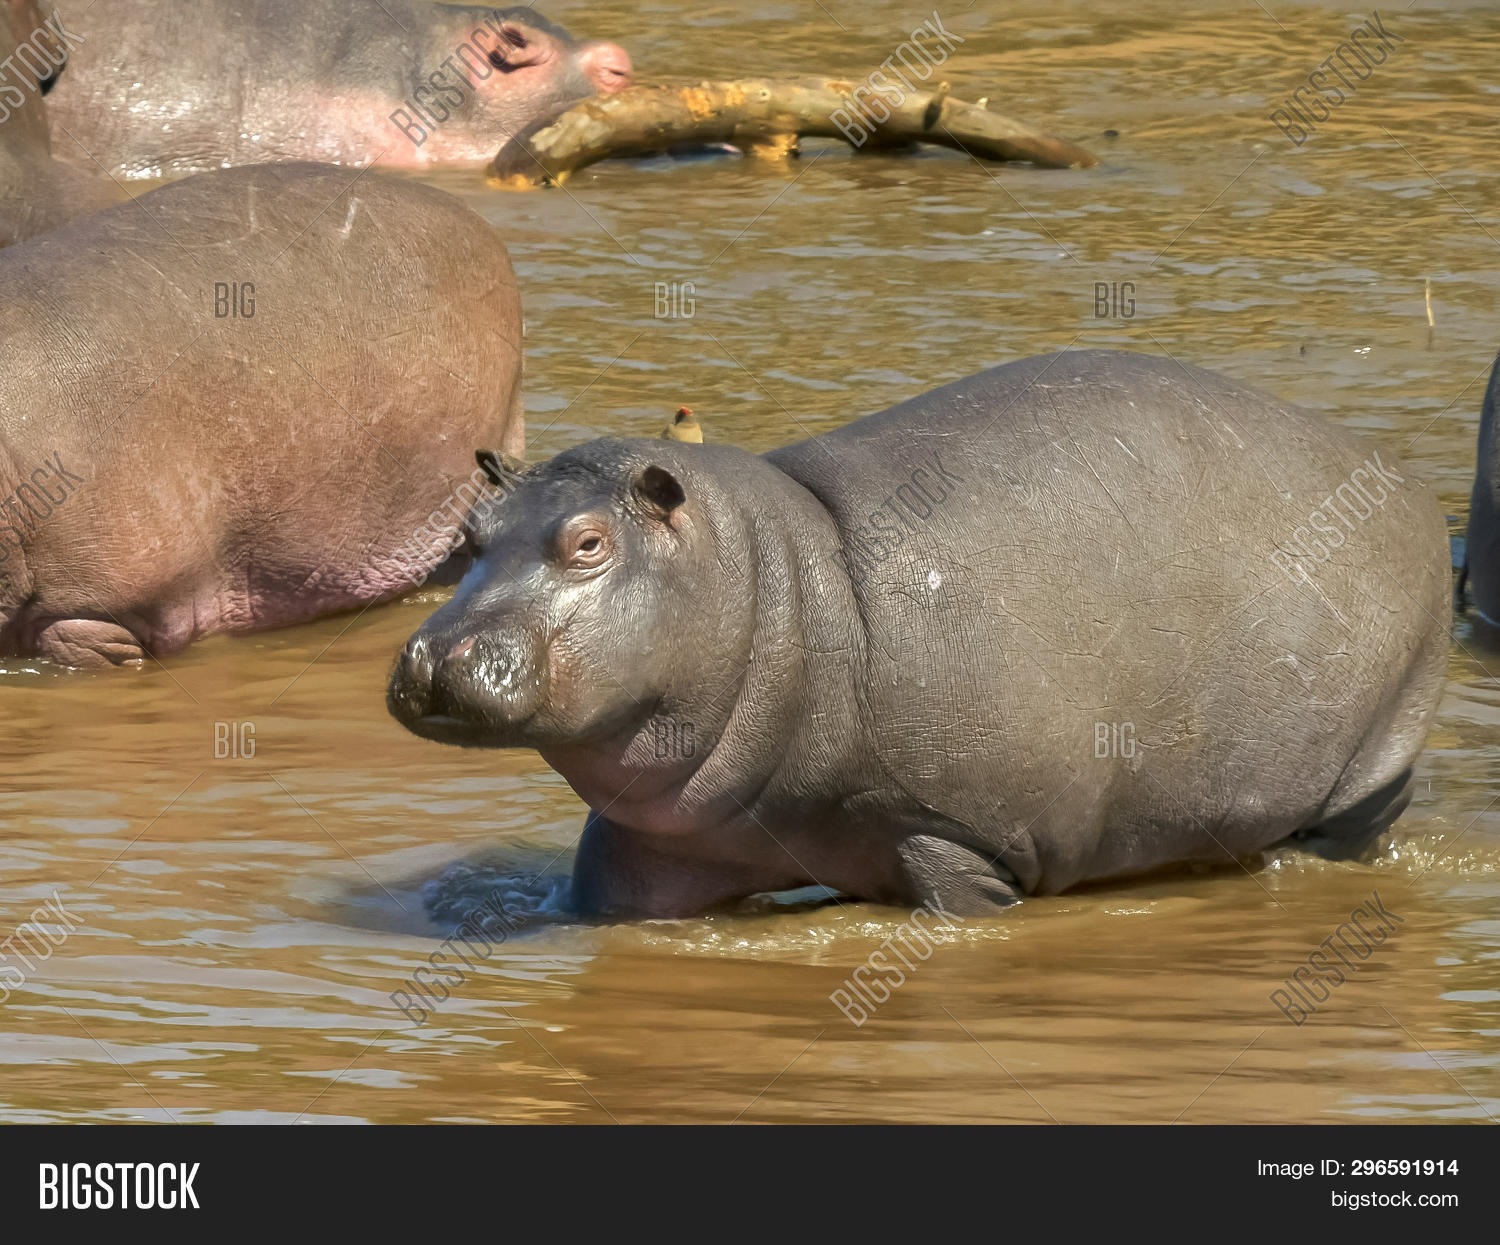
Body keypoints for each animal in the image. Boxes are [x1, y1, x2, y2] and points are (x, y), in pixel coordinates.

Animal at [388, 350, 1448, 917]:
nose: (436, 656)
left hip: (1371, 768)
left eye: (589, 541)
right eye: (470, 531)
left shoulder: (953, 838)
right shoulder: (650, 842)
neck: (781, 582)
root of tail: (1393, 473)